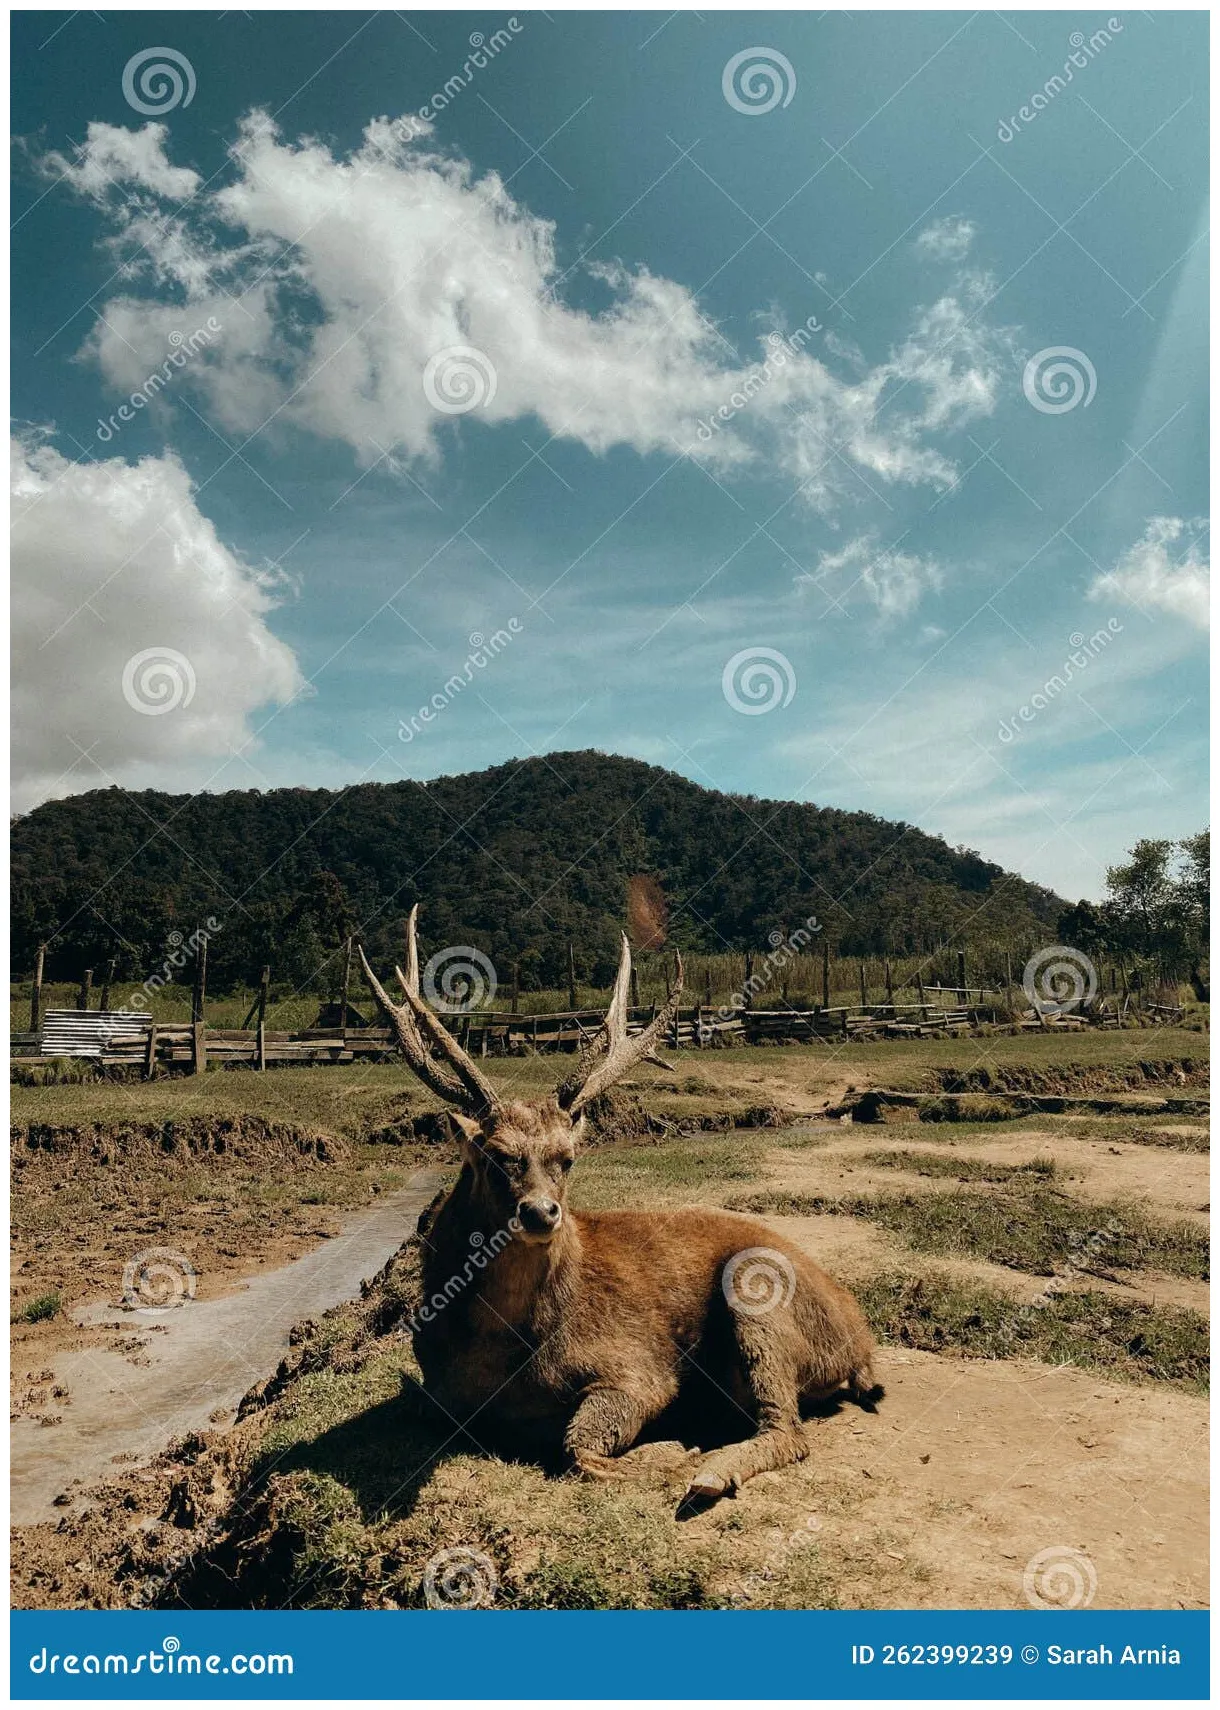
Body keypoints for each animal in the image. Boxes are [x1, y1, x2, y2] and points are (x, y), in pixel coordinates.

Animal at [359, 909, 881, 1509]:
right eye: (496, 1157)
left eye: (567, 1158)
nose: (541, 1213)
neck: (505, 1355)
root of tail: (861, 1339)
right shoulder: (434, 1389)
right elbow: (427, 1407)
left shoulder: (638, 1366)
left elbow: (579, 1445)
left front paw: (662, 1453)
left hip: (758, 1286)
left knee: (788, 1430)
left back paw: (707, 1470)